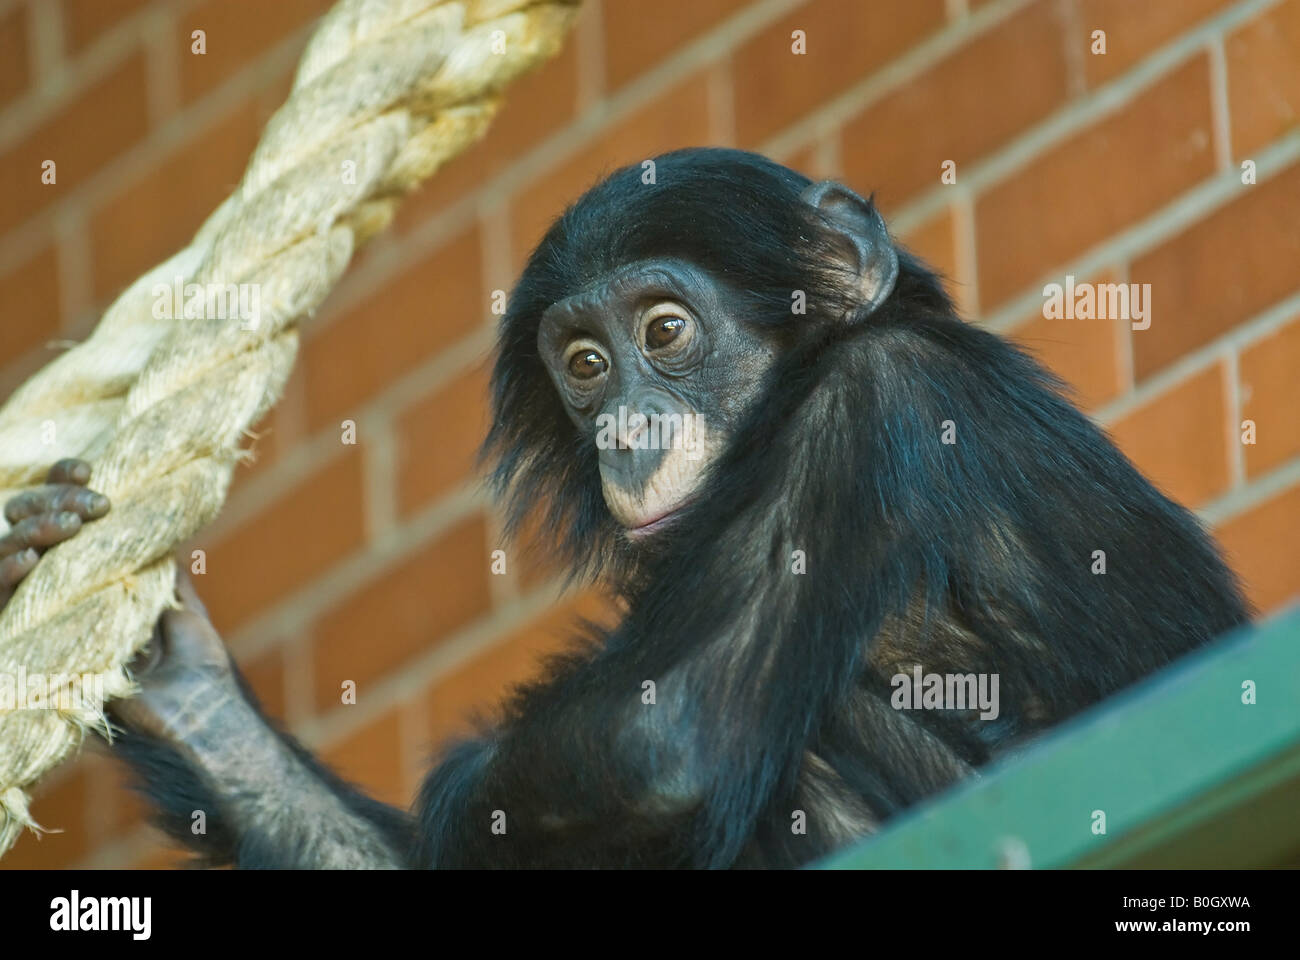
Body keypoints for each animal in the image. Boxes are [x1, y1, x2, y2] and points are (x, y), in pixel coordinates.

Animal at [0, 148, 1249, 868]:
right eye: (587, 365)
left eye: (665, 331)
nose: (627, 429)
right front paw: (179, 683)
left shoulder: (873, 402)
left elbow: (668, 734)